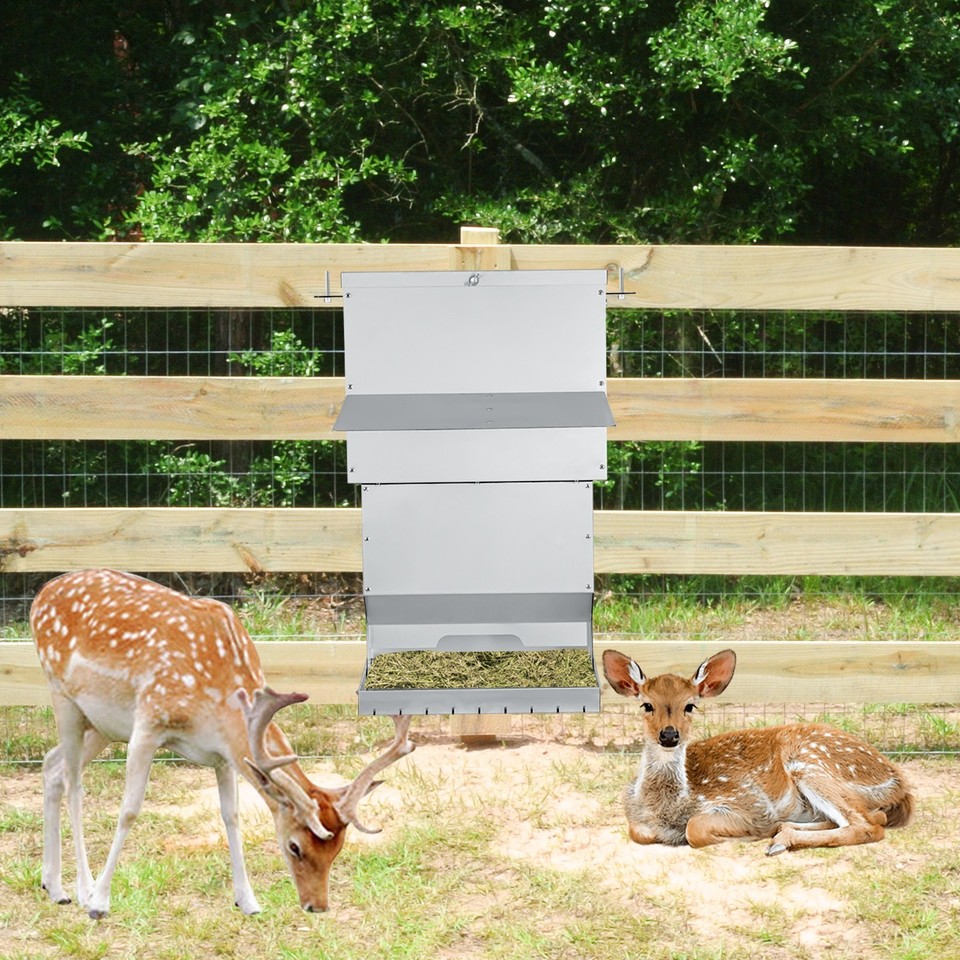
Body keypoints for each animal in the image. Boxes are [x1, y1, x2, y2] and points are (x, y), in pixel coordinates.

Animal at [31, 568, 414, 919]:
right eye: (295, 847)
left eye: (338, 849)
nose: (316, 906)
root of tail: (41, 594)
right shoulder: (148, 724)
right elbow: (129, 810)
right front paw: (100, 902)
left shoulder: (223, 754)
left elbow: (231, 815)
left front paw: (248, 901)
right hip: (63, 696)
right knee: (74, 783)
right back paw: (83, 890)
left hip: (101, 724)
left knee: (52, 765)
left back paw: (54, 887)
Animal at [602, 648, 914, 855]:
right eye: (646, 705)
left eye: (690, 705)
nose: (669, 735)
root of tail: (899, 784)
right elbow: (638, 831)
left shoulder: (748, 802)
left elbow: (695, 830)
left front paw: (743, 837)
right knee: (870, 818)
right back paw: (782, 832)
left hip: (812, 764)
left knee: (868, 825)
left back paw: (778, 841)